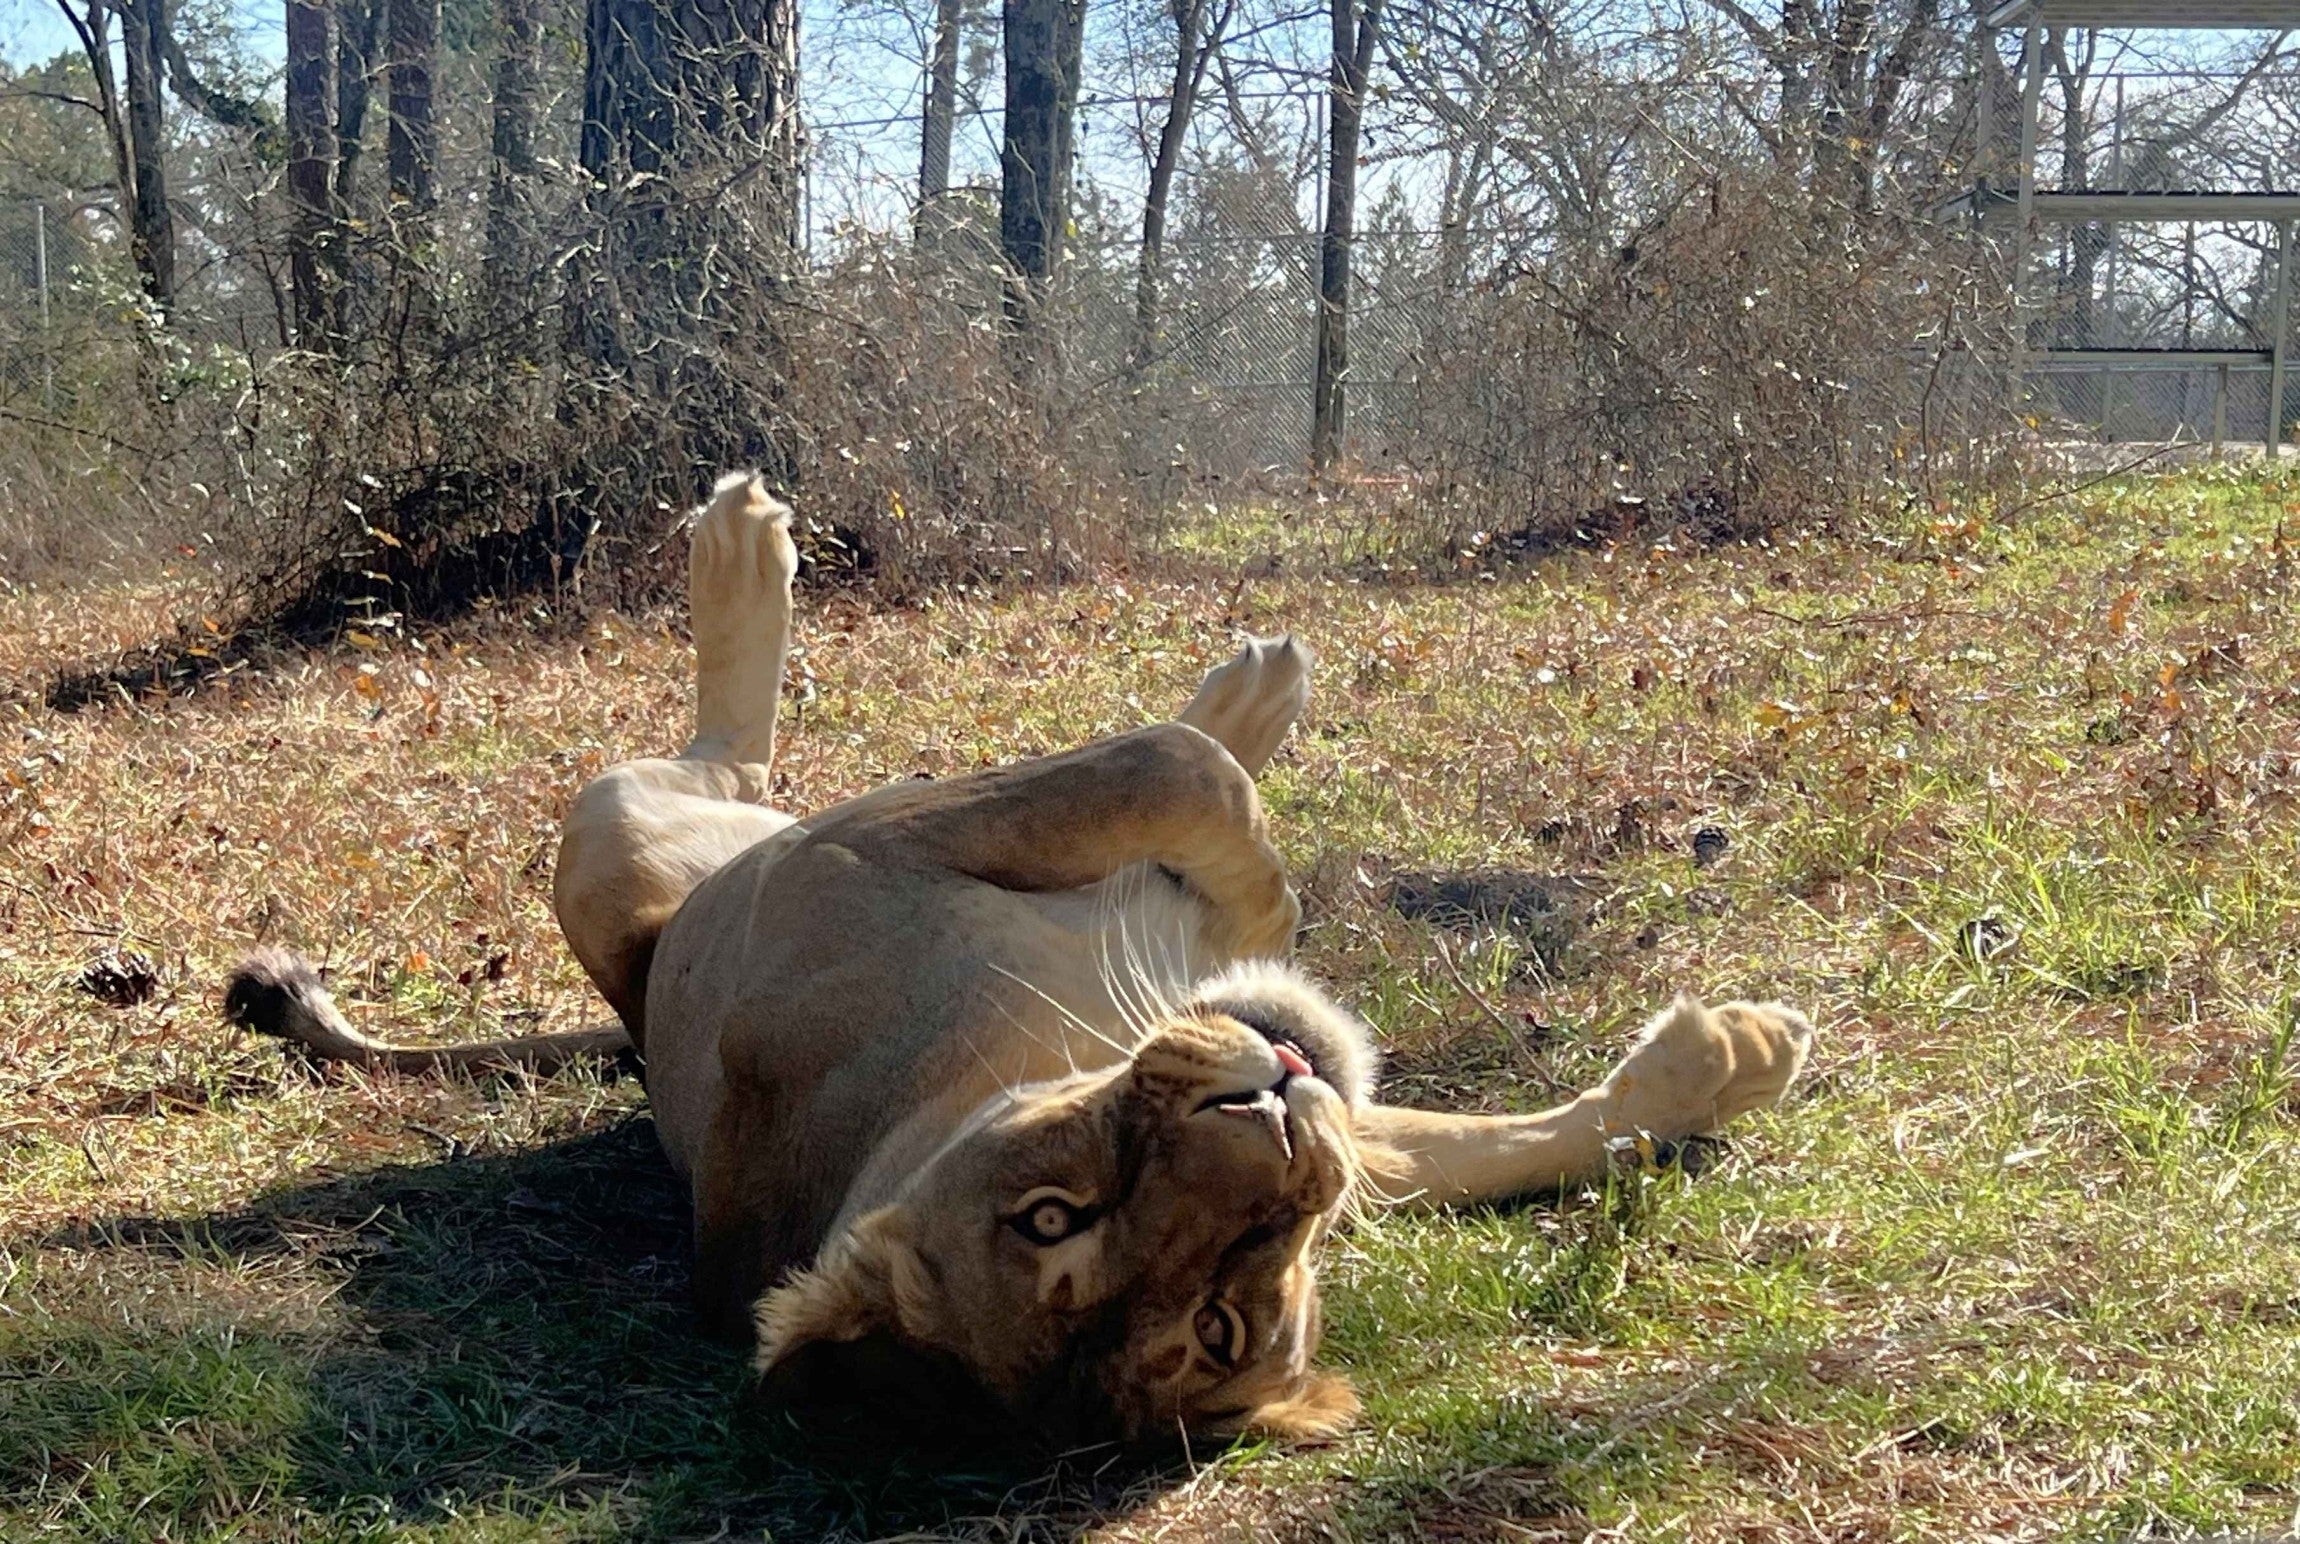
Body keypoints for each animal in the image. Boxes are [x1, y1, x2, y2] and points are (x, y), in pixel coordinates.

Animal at [225, 471, 1814, 1446]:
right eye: (1059, 1228)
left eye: (1228, 1305)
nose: (1265, 1115)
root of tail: (630, 992)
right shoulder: (868, 847)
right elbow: (1178, 782)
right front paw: (1257, 894)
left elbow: (1505, 1141)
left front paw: (1725, 1059)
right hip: (631, 833)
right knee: (726, 746)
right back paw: (748, 549)